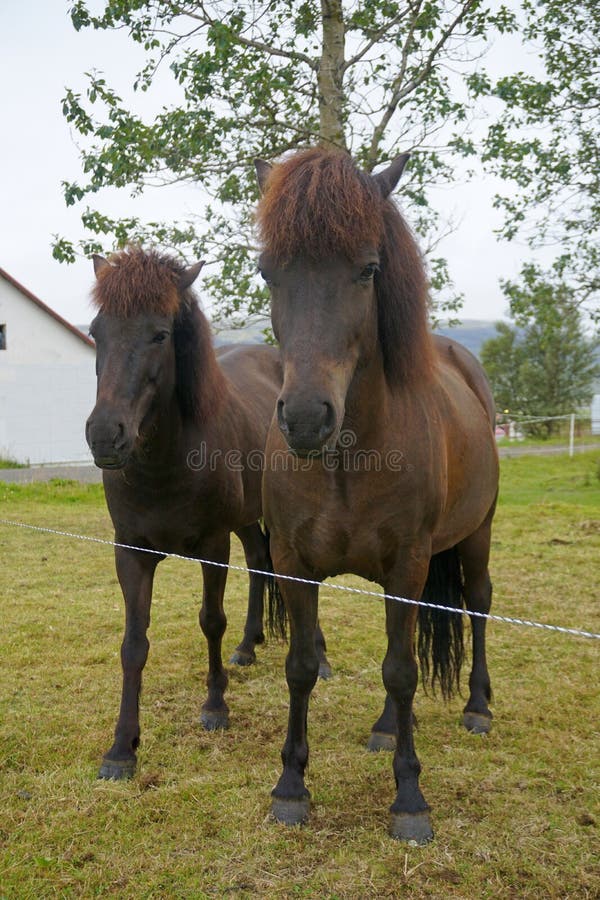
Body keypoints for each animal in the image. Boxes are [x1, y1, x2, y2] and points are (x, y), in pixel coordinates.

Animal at [86, 246, 330, 780]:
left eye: (160, 334)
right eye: (96, 330)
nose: (104, 435)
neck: (167, 461)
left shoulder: (213, 547)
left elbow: (211, 620)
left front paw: (215, 706)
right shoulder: (129, 553)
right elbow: (133, 644)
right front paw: (121, 747)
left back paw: (318, 657)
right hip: (247, 522)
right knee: (260, 564)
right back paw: (248, 646)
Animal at [254, 148, 499, 844]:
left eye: (367, 269)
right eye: (267, 271)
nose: (306, 418)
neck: (346, 460)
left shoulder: (409, 565)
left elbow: (403, 669)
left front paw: (410, 800)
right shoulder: (292, 565)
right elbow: (302, 667)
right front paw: (290, 787)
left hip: (475, 536)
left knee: (477, 606)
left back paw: (477, 707)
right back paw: (388, 727)